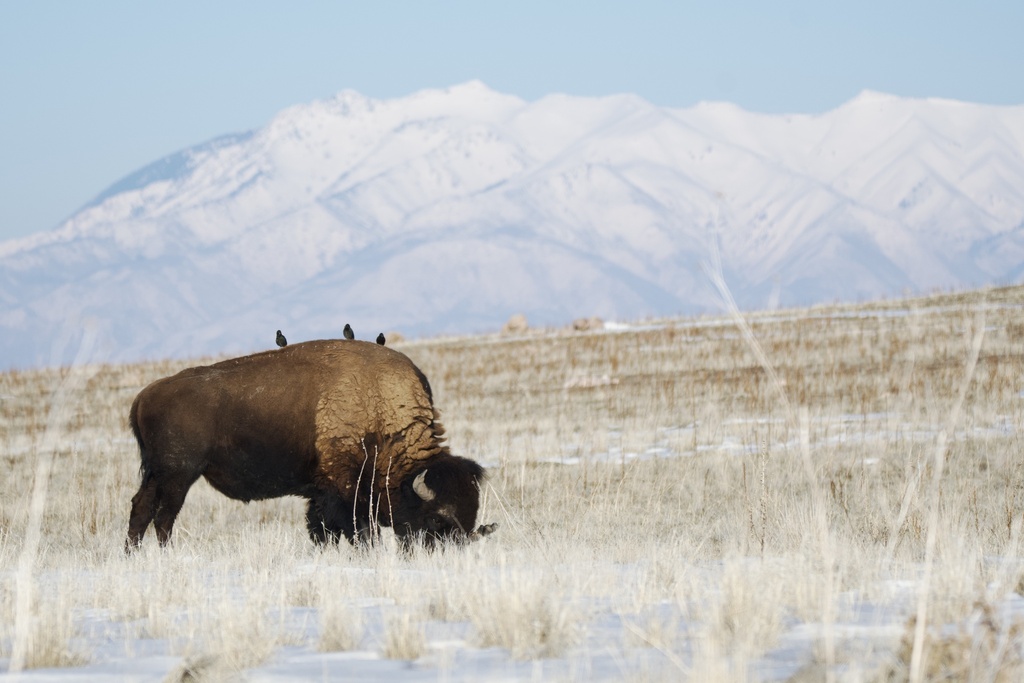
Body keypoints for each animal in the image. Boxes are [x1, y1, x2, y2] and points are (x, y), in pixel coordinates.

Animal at [125, 340, 494, 551]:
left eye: (470, 517)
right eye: (436, 519)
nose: (447, 552)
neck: (378, 405)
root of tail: (144, 396)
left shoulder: (321, 492)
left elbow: (323, 530)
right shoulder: (344, 489)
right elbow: (360, 531)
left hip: (157, 474)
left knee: (141, 508)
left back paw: (132, 554)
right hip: (178, 474)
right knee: (164, 517)